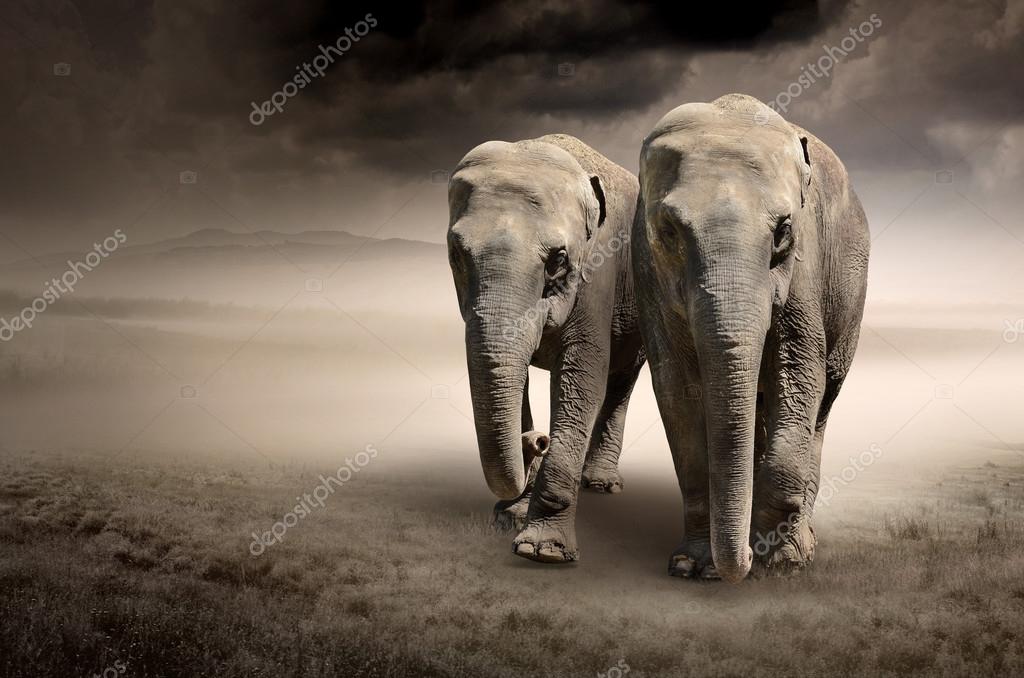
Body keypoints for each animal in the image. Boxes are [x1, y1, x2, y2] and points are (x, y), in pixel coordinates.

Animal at [447, 134, 644, 561]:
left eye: (558, 259)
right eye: (456, 255)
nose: (537, 440)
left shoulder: (599, 273)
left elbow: (582, 378)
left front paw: (542, 550)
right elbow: (511, 376)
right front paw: (511, 517)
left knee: (623, 377)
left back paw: (601, 484)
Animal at [631, 94, 869, 582]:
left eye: (783, 231)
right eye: (668, 231)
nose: (738, 563)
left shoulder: (804, 267)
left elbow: (800, 374)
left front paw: (775, 558)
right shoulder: (645, 269)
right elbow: (676, 389)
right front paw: (690, 565)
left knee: (823, 403)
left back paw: (798, 545)